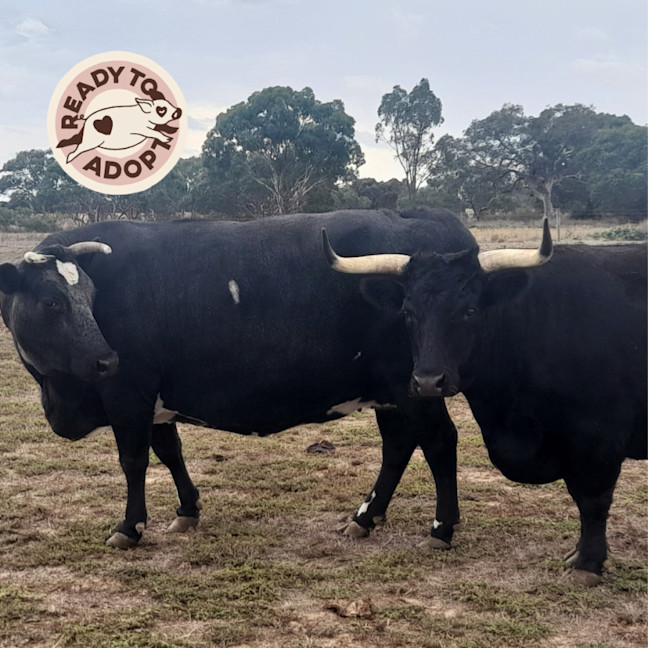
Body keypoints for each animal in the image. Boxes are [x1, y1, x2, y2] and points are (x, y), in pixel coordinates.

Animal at [0, 208, 476, 550]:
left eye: (91, 296)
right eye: (51, 301)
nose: (104, 359)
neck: (58, 391)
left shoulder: (129, 392)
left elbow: (133, 461)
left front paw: (129, 527)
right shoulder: (156, 401)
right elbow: (169, 451)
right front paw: (187, 510)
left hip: (418, 384)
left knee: (438, 440)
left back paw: (441, 529)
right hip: (390, 391)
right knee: (398, 446)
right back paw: (364, 519)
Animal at [322, 219, 647, 586]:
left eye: (470, 311)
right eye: (408, 312)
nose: (427, 381)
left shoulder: (599, 436)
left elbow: (592, 499)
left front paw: (588, 564)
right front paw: (579, 554)